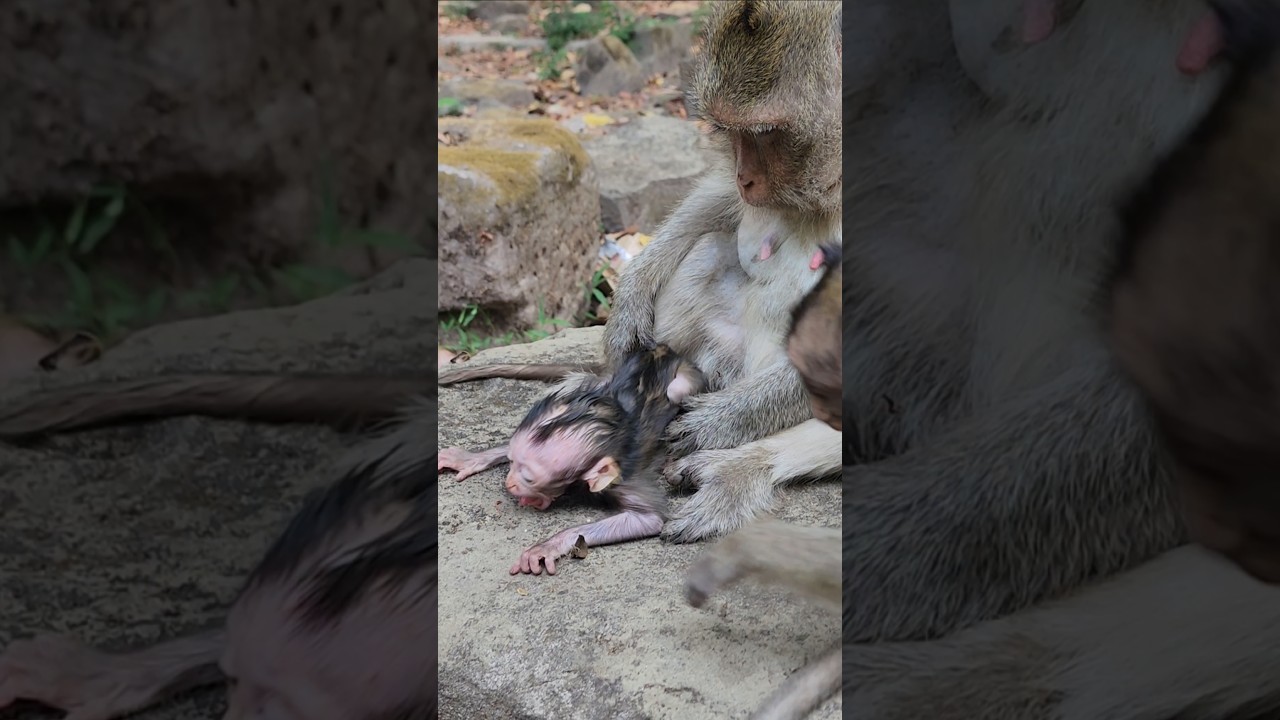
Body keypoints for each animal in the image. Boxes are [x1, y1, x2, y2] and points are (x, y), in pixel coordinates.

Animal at [439, 344, 706, 574]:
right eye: (512, 463)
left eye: (528, 478)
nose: (509, 483)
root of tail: (661, 349)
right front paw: (471, 459)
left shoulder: (623, 481)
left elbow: (649, 519)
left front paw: (549, 545)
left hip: (689, 373)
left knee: (676, 390)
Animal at [600, 0, 843, 544]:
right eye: (730, 132)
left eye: (766, 134)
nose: (744, 175)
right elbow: (719, 201)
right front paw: (630, 295)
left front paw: (720, 423)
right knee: (711, 246)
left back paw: (736, 469)